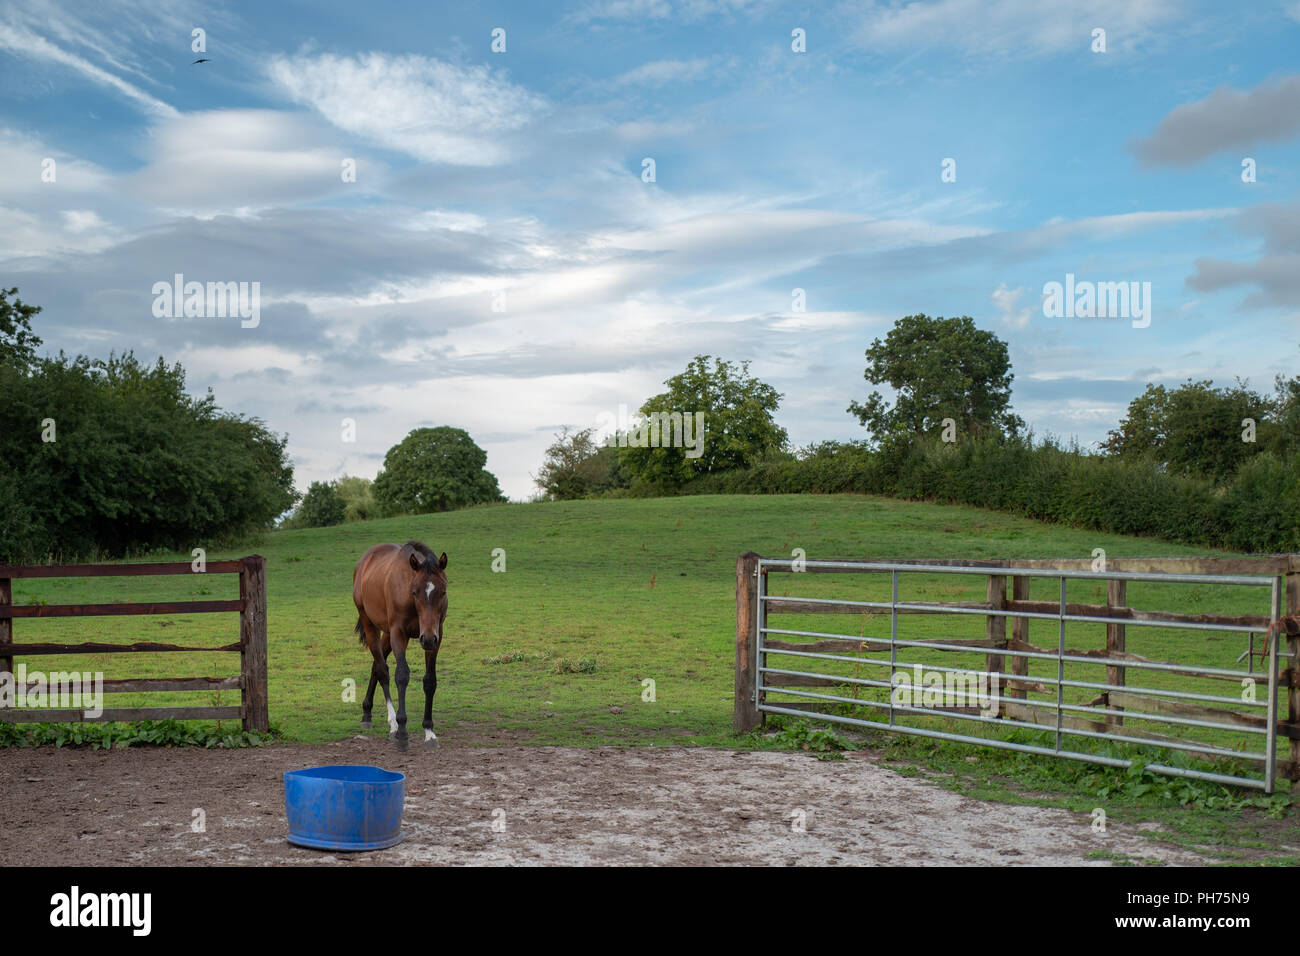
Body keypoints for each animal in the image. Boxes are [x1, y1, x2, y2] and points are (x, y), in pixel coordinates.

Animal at [352, 540, 448, 747]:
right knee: (382, 670)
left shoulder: (436, 636)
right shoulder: (399, 634)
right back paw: (393, 724)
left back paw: (367, 712)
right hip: (370, 625)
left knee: (376, 665)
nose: (428, 638)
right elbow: (401, 675)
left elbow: (430, 680)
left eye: (443, 591)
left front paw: (429, 731)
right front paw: (402, 731)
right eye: (415, 592)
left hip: (387, 633)